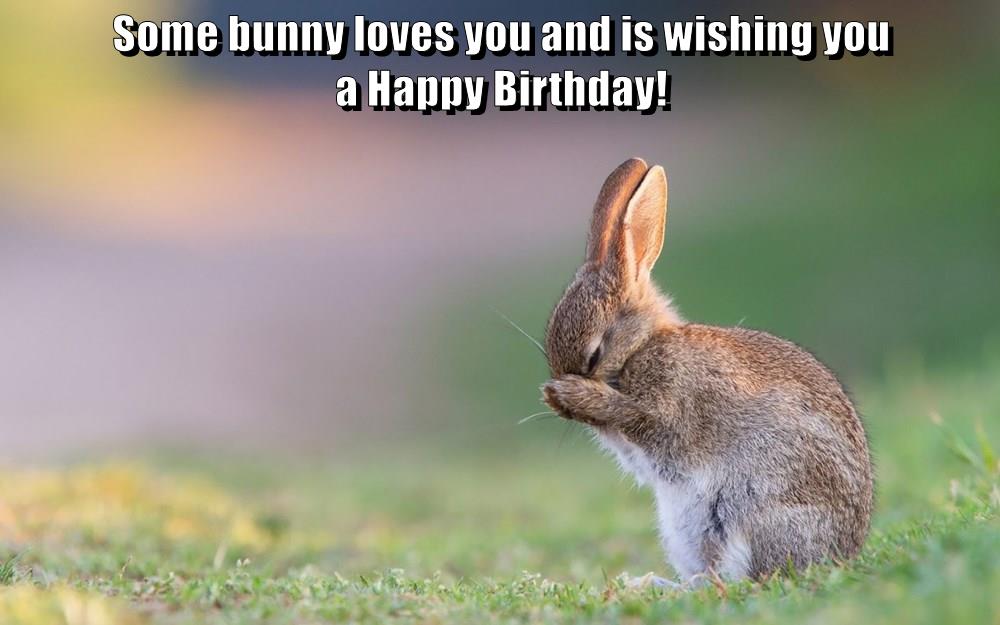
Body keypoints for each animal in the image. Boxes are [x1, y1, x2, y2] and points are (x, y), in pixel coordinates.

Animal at [542, 158, 872, 584]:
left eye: (594, 355)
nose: (558, 395)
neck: (641, 346)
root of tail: (841, 554)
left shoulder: (668, 406)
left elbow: (639, 417)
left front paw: (572, 395)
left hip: (751, 512)